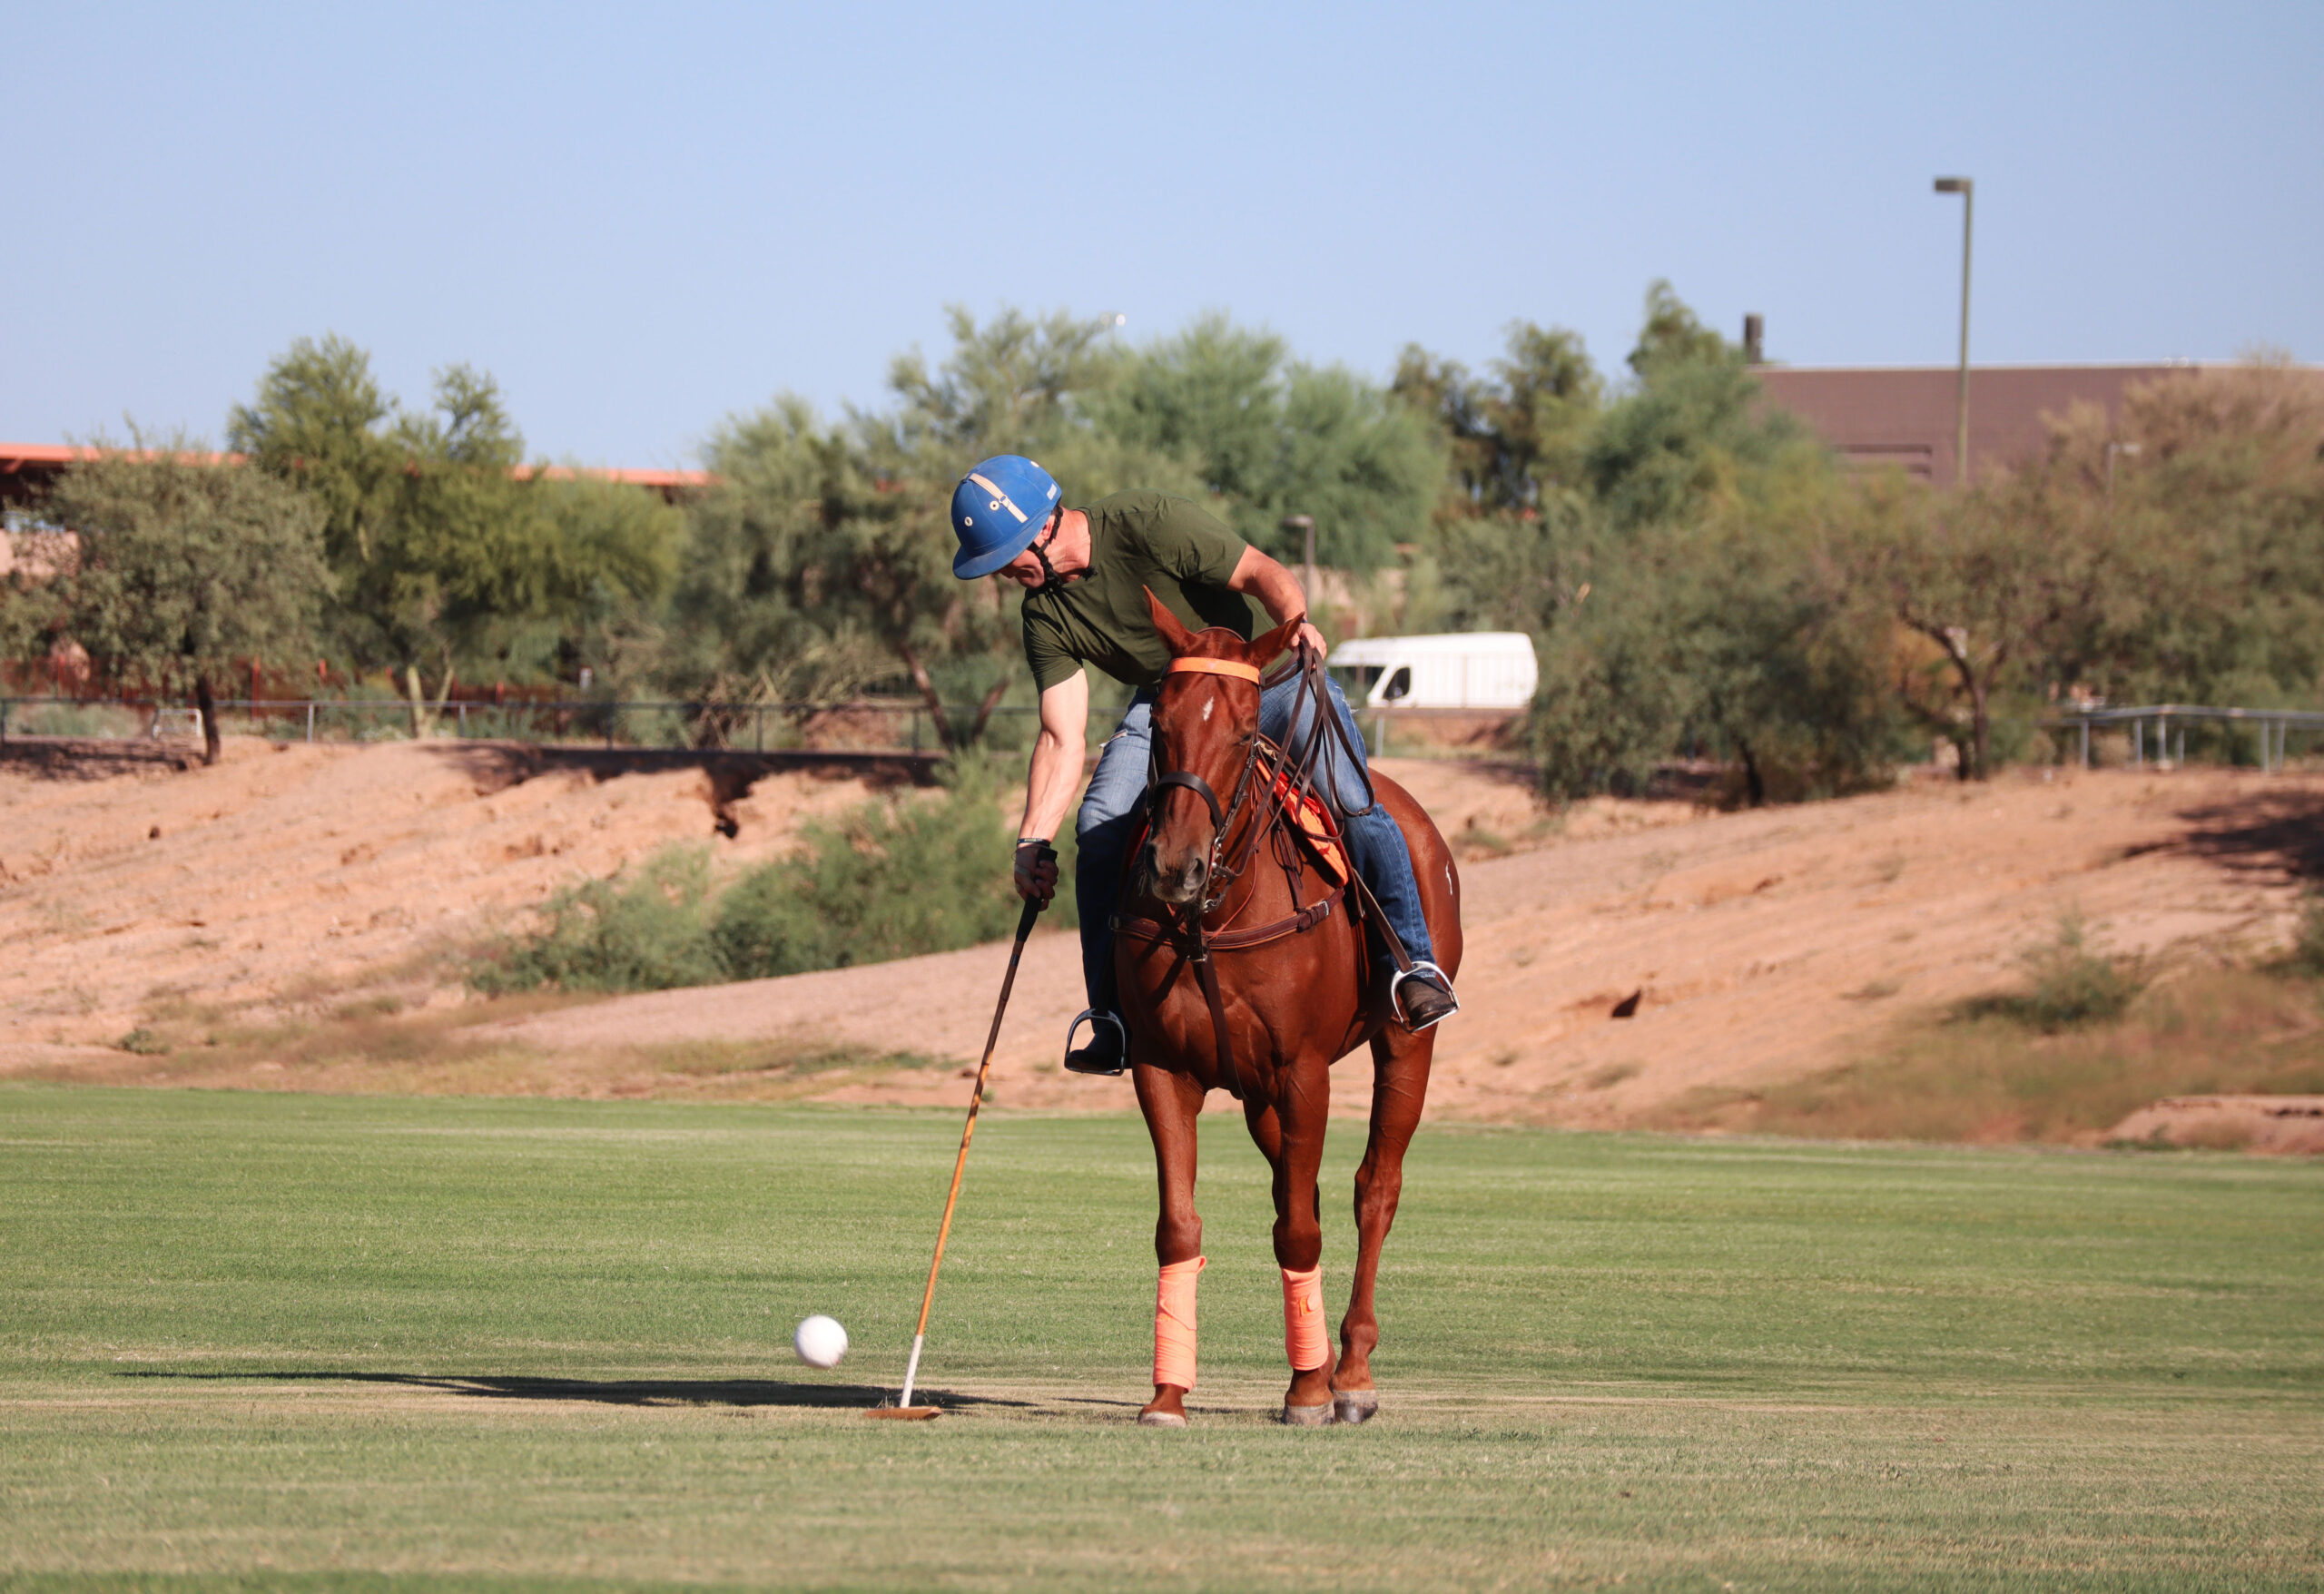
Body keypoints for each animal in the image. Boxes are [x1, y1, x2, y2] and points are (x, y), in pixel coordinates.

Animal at [1117, 591, 1463, 1426]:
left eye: (1245, 733)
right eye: (1162, 722)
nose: (1175, 867)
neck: (1215, 916)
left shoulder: (1306, 1072)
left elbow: (1303, 1230)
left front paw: (1309, 1390)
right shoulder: (1161, 1068)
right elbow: (1181, 1227)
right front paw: (1167, 1394)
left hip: (1404, 1045)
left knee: (1374, 1189)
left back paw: (1353, 1373)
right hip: (1259, 1096)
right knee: (1297, 1188)